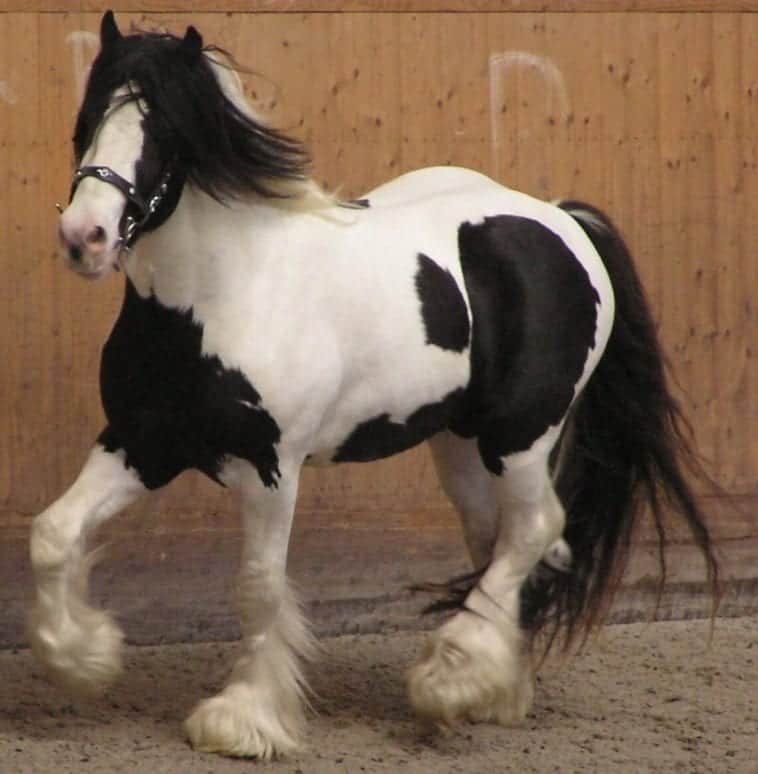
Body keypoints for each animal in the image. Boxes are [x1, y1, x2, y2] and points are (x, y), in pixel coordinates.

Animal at [30, 11, 718, 760]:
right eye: (88, 117)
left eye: (167, 132)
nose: (85, 237)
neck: (220, 295)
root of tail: (561, 219)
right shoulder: (141, 443)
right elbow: (53, 534)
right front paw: (83, 657)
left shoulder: (272, 467)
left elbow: (258, 588)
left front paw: (245, 720)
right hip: (459, 444)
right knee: (498, 538)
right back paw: (494, 689)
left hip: (522, 435)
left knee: (536, 529)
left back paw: (448, 681)